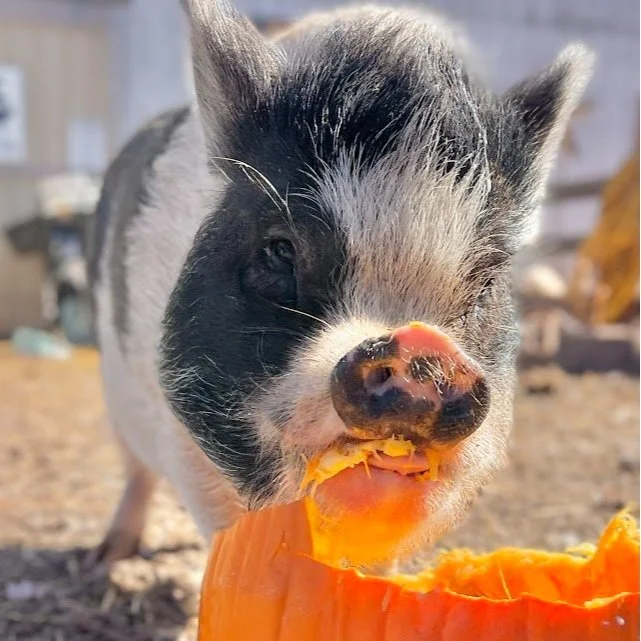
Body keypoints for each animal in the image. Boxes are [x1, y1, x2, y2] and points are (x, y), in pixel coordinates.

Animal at [89, 0, 593, 564]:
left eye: (485, 284)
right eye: (279, 250)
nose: (422, 346)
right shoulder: (181, 433)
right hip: (115, 392)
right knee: (136, 470)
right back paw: (108, 556)